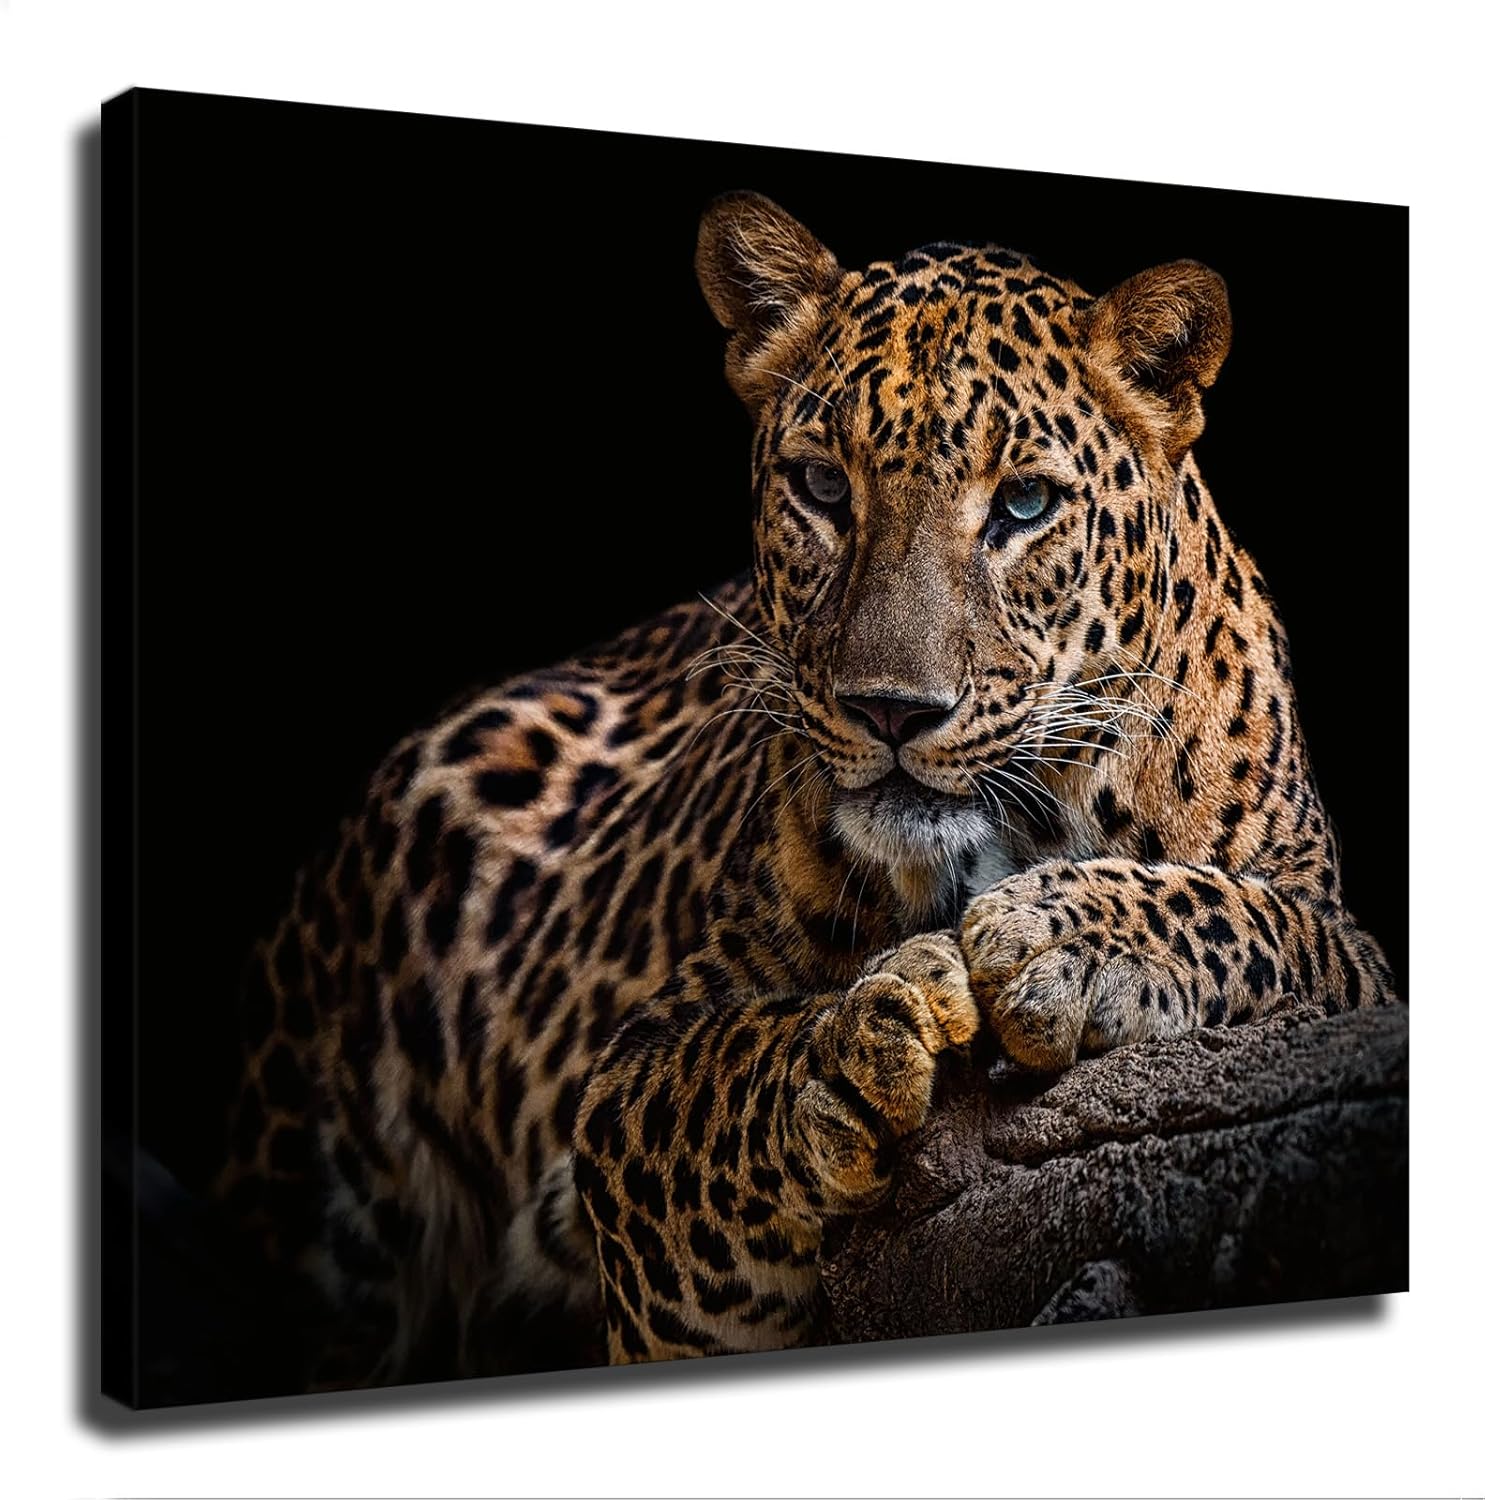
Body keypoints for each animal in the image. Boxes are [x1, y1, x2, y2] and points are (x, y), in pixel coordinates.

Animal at [213, 191, 1396, 1384]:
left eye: (1023, 505)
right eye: (824, 487)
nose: (891, 711)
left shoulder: (1345, 946)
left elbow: (1255, 918)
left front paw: (1069, 942)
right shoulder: (629, 1091)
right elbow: (708, 1082)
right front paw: (844, 1059)